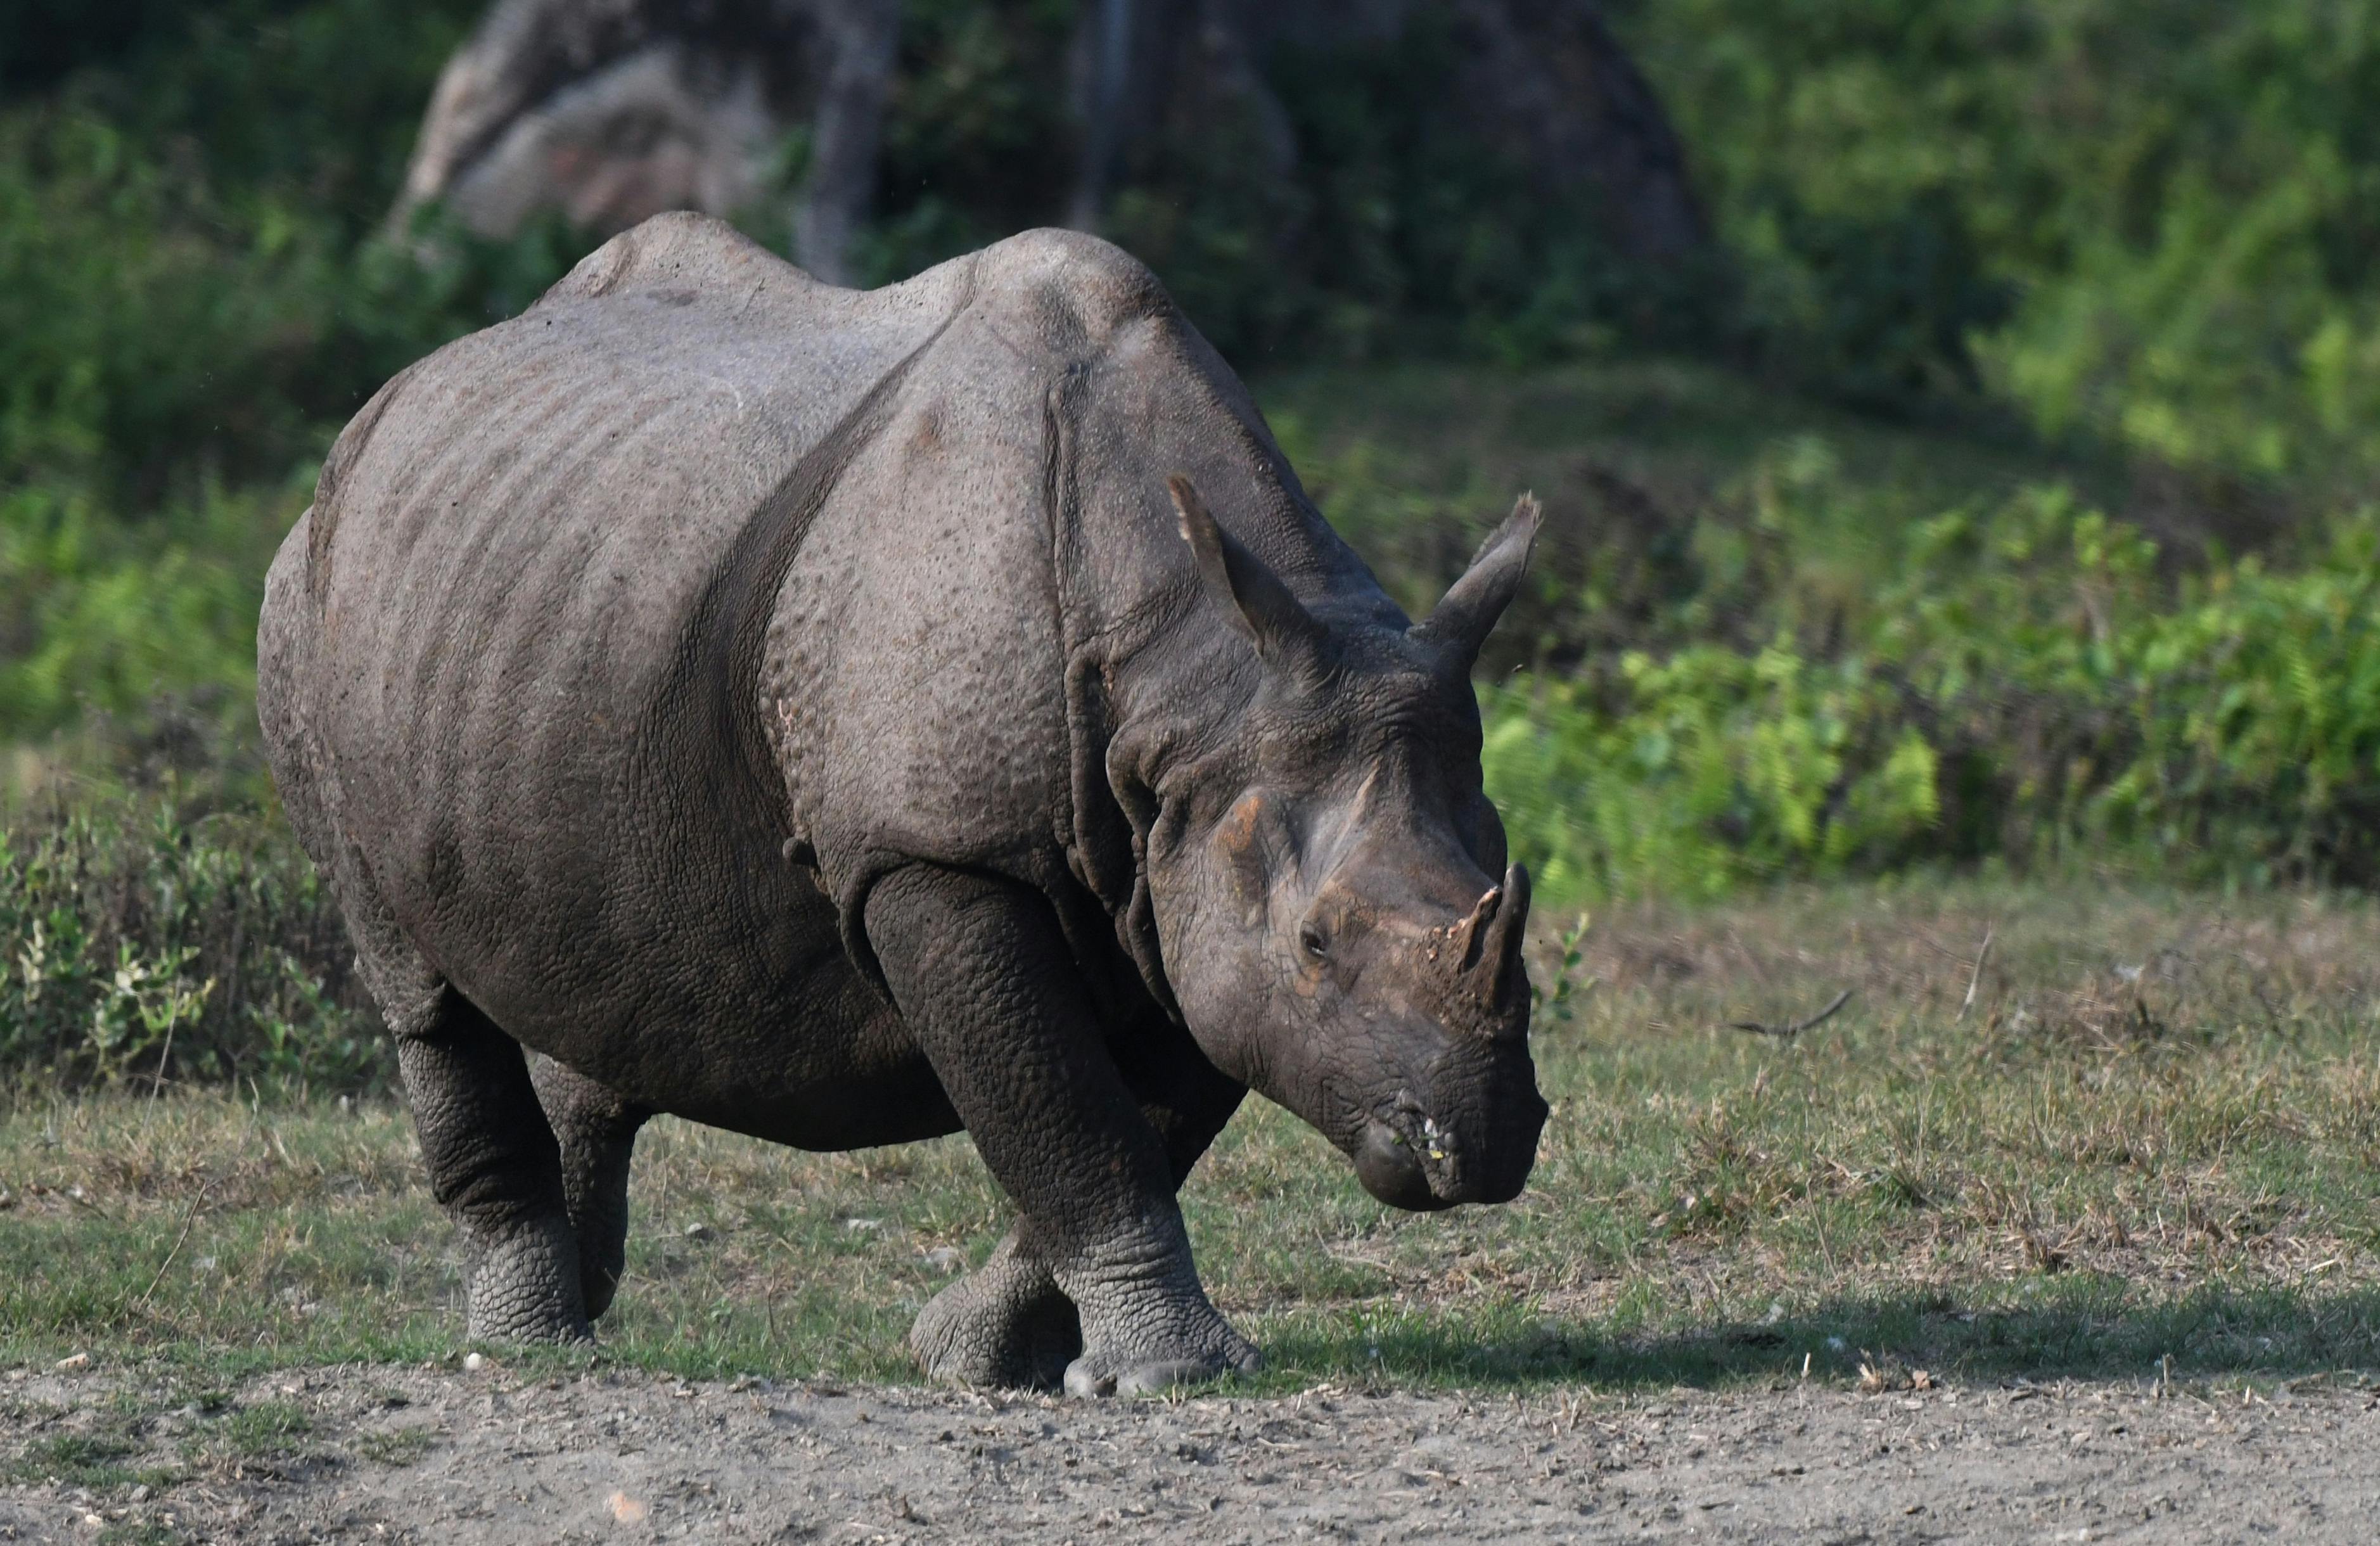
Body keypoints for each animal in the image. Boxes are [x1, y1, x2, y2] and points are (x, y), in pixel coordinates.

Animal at [258, 213, 1548, 1395]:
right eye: (1317, 943)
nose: (1484, 1143)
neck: (1196, 678)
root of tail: (389, 405)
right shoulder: (937, 854)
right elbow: (1070, 1116)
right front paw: (1169, 1372)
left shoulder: (1182, 852)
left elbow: (1133, 1117)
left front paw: (972, 1355)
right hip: (302, 610)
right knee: (417, 984)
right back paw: (528, 1349)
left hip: (543, 588)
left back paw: (572, 1301)